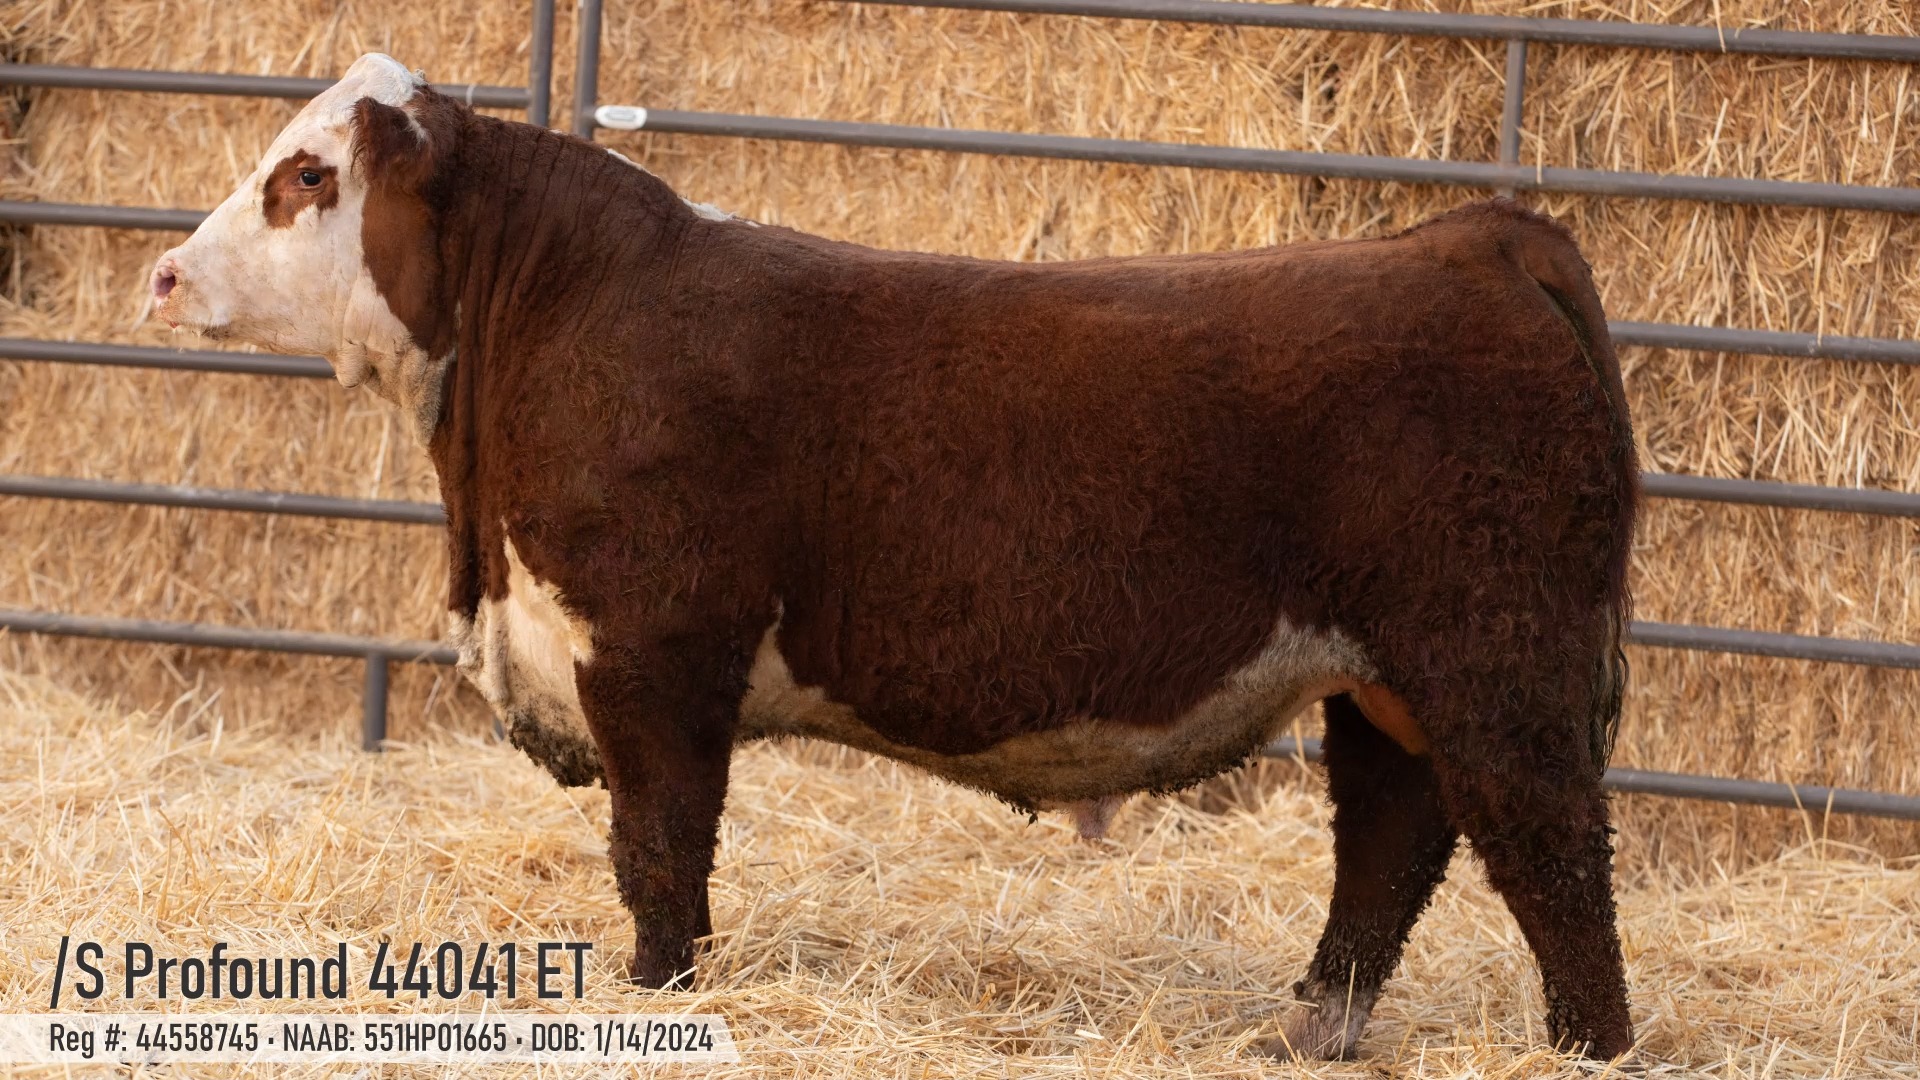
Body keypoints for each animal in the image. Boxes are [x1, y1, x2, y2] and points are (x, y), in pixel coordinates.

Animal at [150, 54, 1640, 1061]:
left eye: (308, 176)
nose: (163, 273)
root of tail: (1469, 238)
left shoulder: (654, 653)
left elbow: (659, 852)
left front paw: (661, 994)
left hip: (1498, 659)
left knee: (1553, 857)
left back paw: (1586, 1046)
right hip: (1384, 681)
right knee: (1392, 840)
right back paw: (1311, 1030)